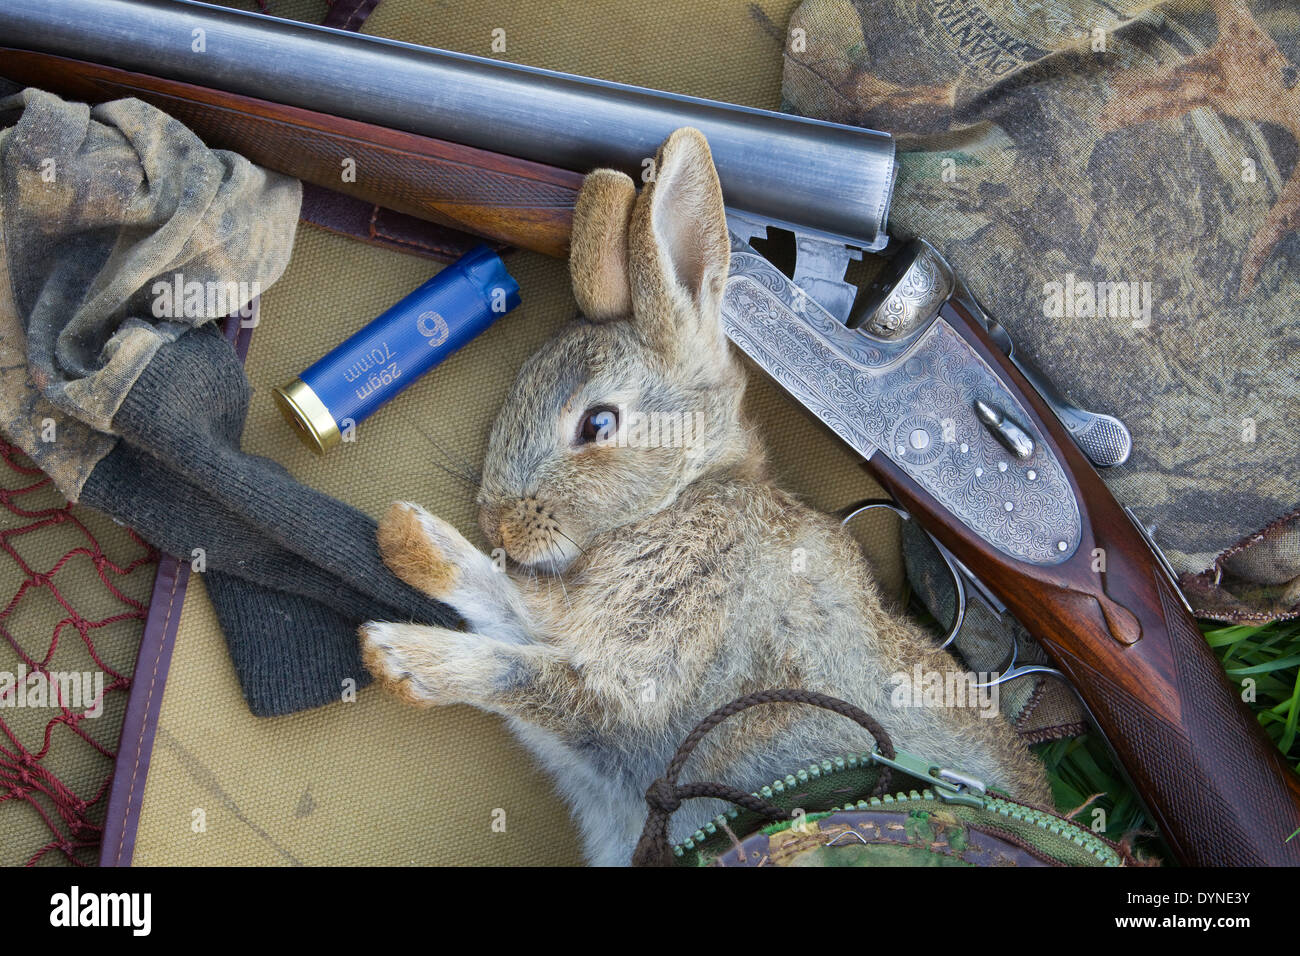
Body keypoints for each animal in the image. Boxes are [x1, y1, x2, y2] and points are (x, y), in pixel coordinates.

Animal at [359, 127, 1051, 866]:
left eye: (597, 424)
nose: (498, 523)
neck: (682, 500)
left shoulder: (633, 693)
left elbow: (525, 666)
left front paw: (399, 655)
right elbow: (506, 603)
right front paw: (412, 539)